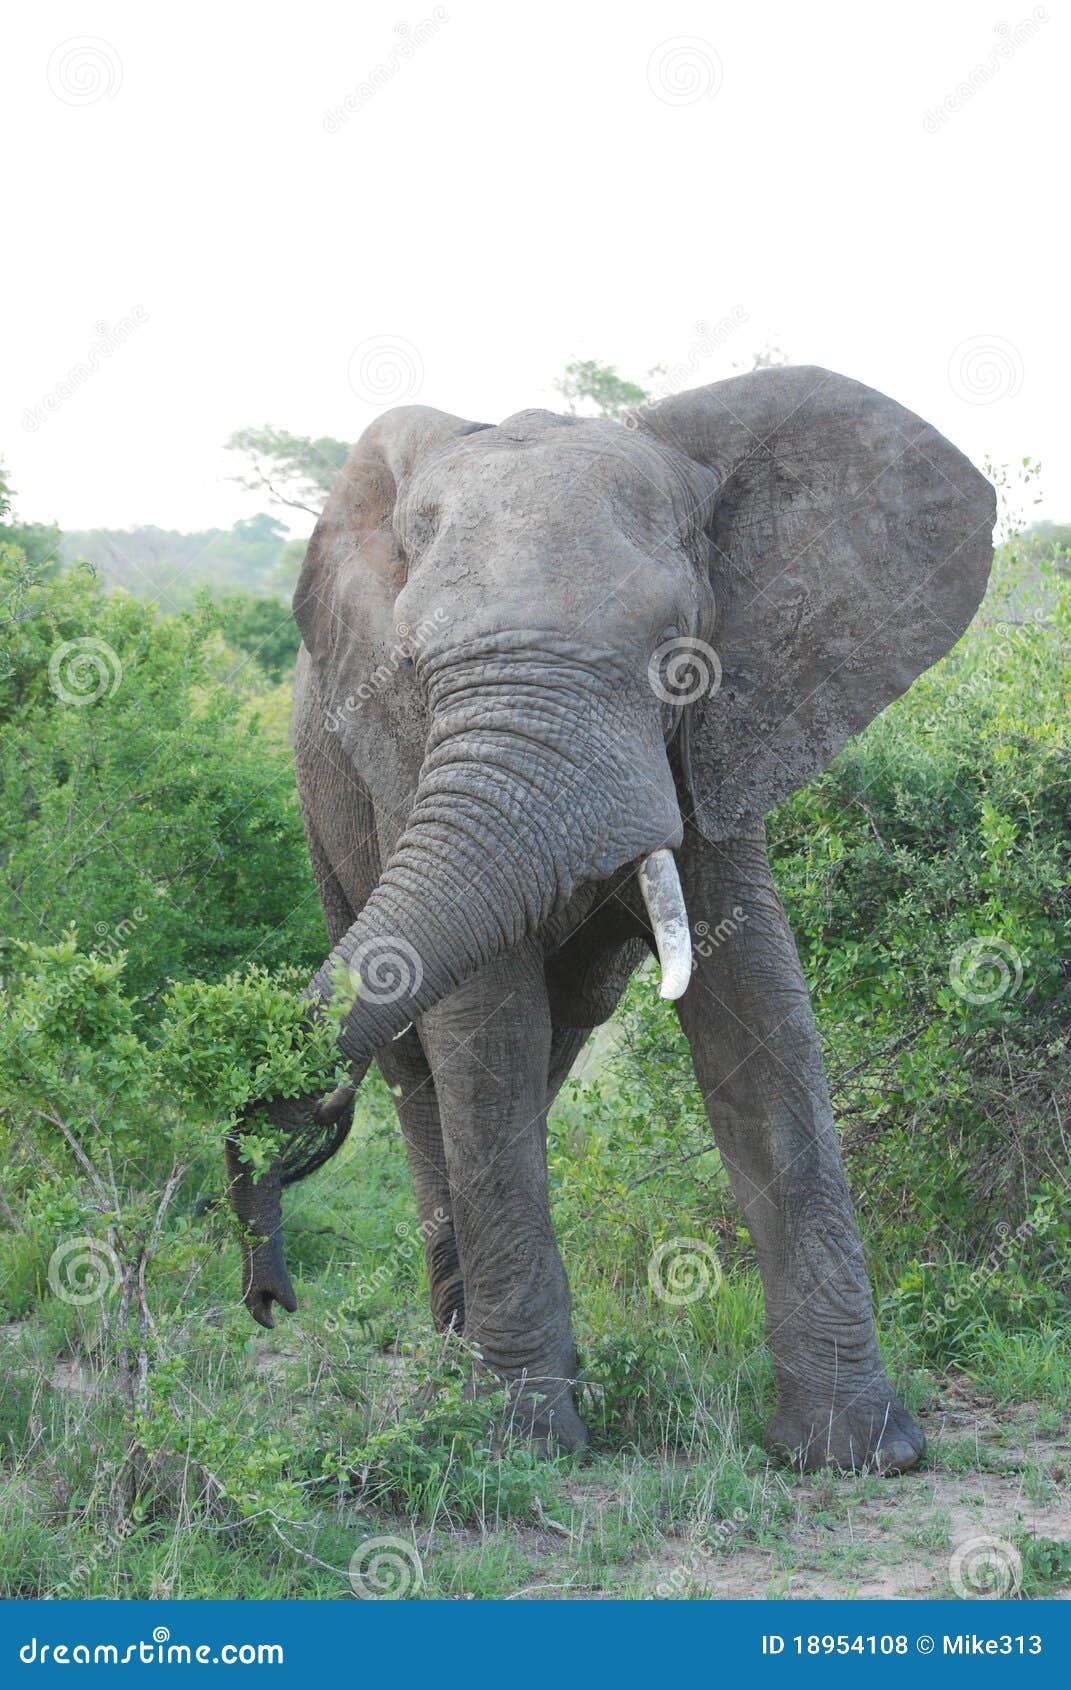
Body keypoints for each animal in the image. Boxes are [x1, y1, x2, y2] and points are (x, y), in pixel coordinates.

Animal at [227, 364, 995, 1472]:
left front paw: (860, 1453)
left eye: (680, 660)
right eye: (410, 667)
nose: (268, 1297)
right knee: (424, 1070)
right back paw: (451, 1361)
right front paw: (519, 1446)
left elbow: (757, 1007)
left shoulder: (727, 736)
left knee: (556, 1036)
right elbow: (482, 1025)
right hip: (323, 821)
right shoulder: (399, 756)